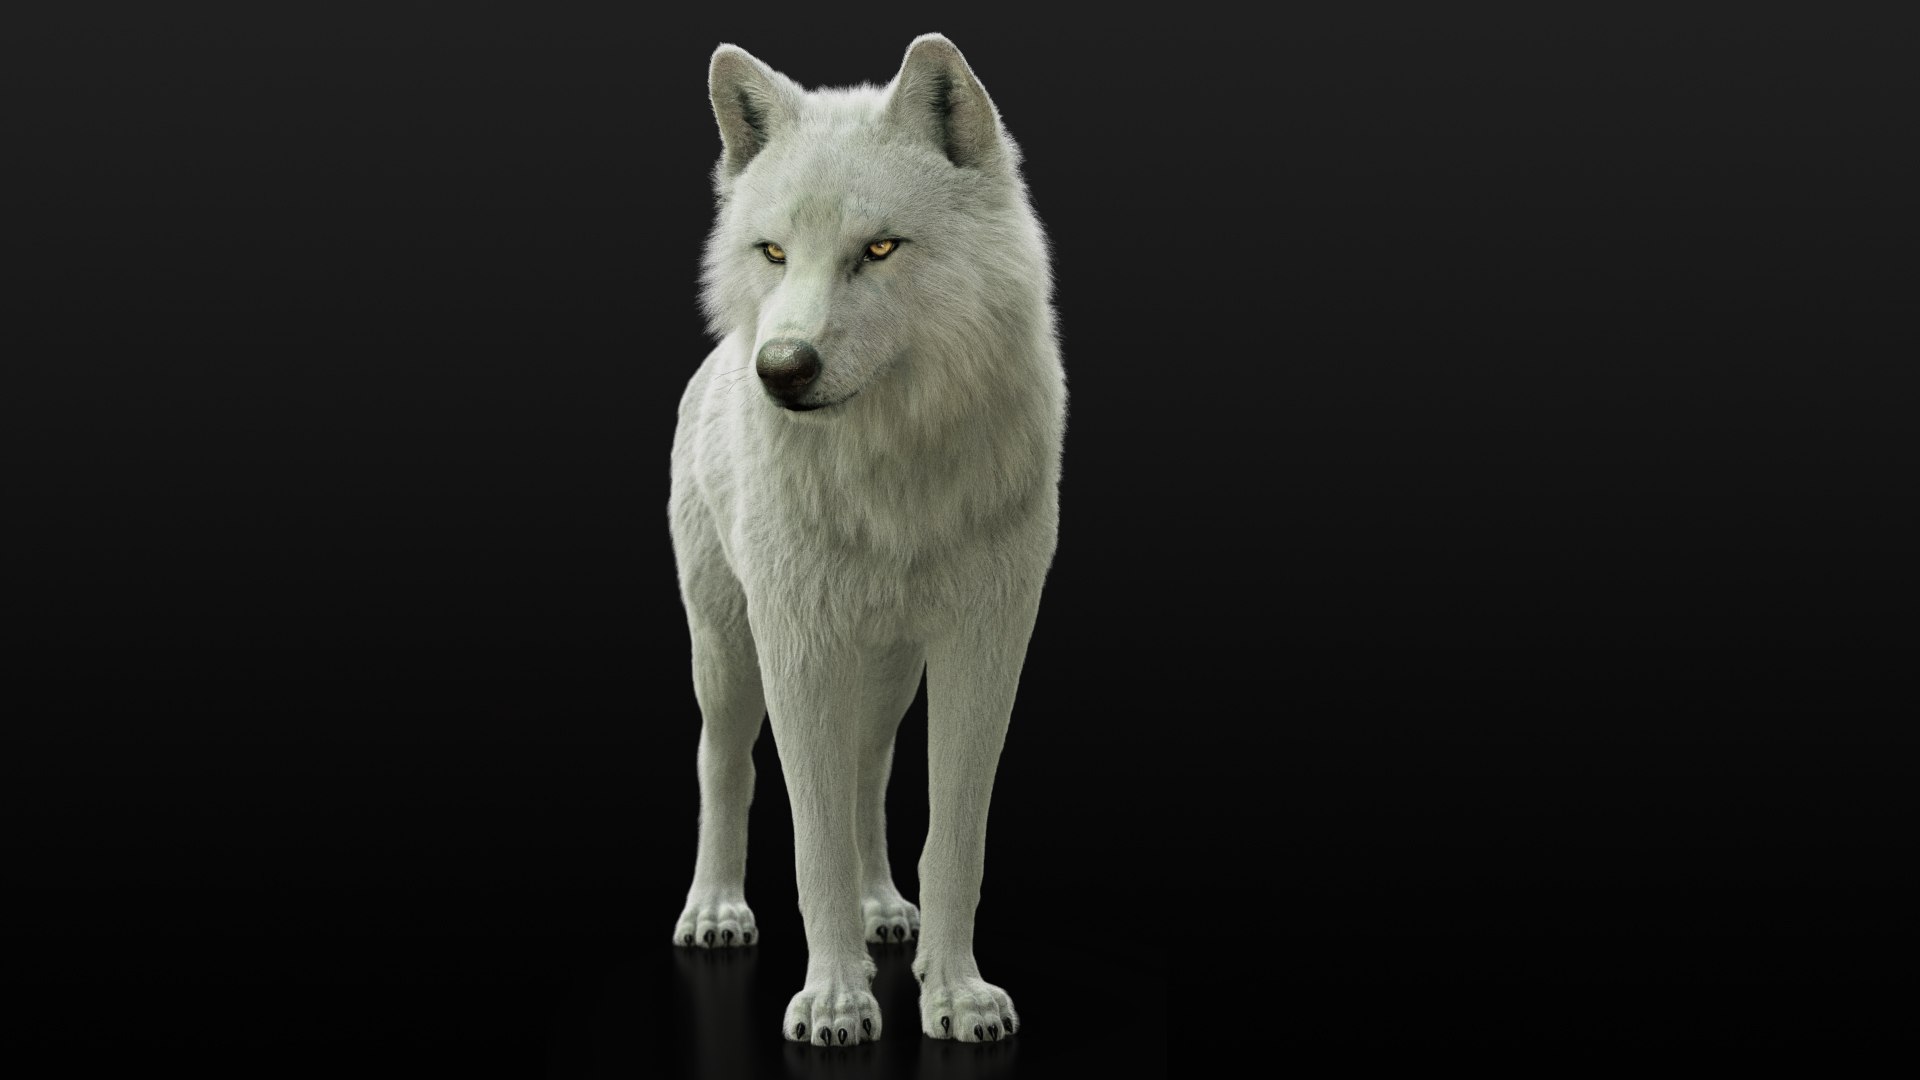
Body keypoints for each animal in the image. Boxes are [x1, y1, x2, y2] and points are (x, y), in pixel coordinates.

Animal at [667, 33, 1064, 1047]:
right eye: (773, 252)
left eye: (879, 249)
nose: (779, 369)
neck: (895, 479)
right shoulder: (798, 648)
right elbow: (811, 846)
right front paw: (837, 1002)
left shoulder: (986, 644)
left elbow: (952, 836)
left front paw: (955, 992)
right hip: (728, 651)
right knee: (723, 764)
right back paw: (715, 910)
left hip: (885, 675)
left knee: (866, 777)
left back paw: (886, 910)